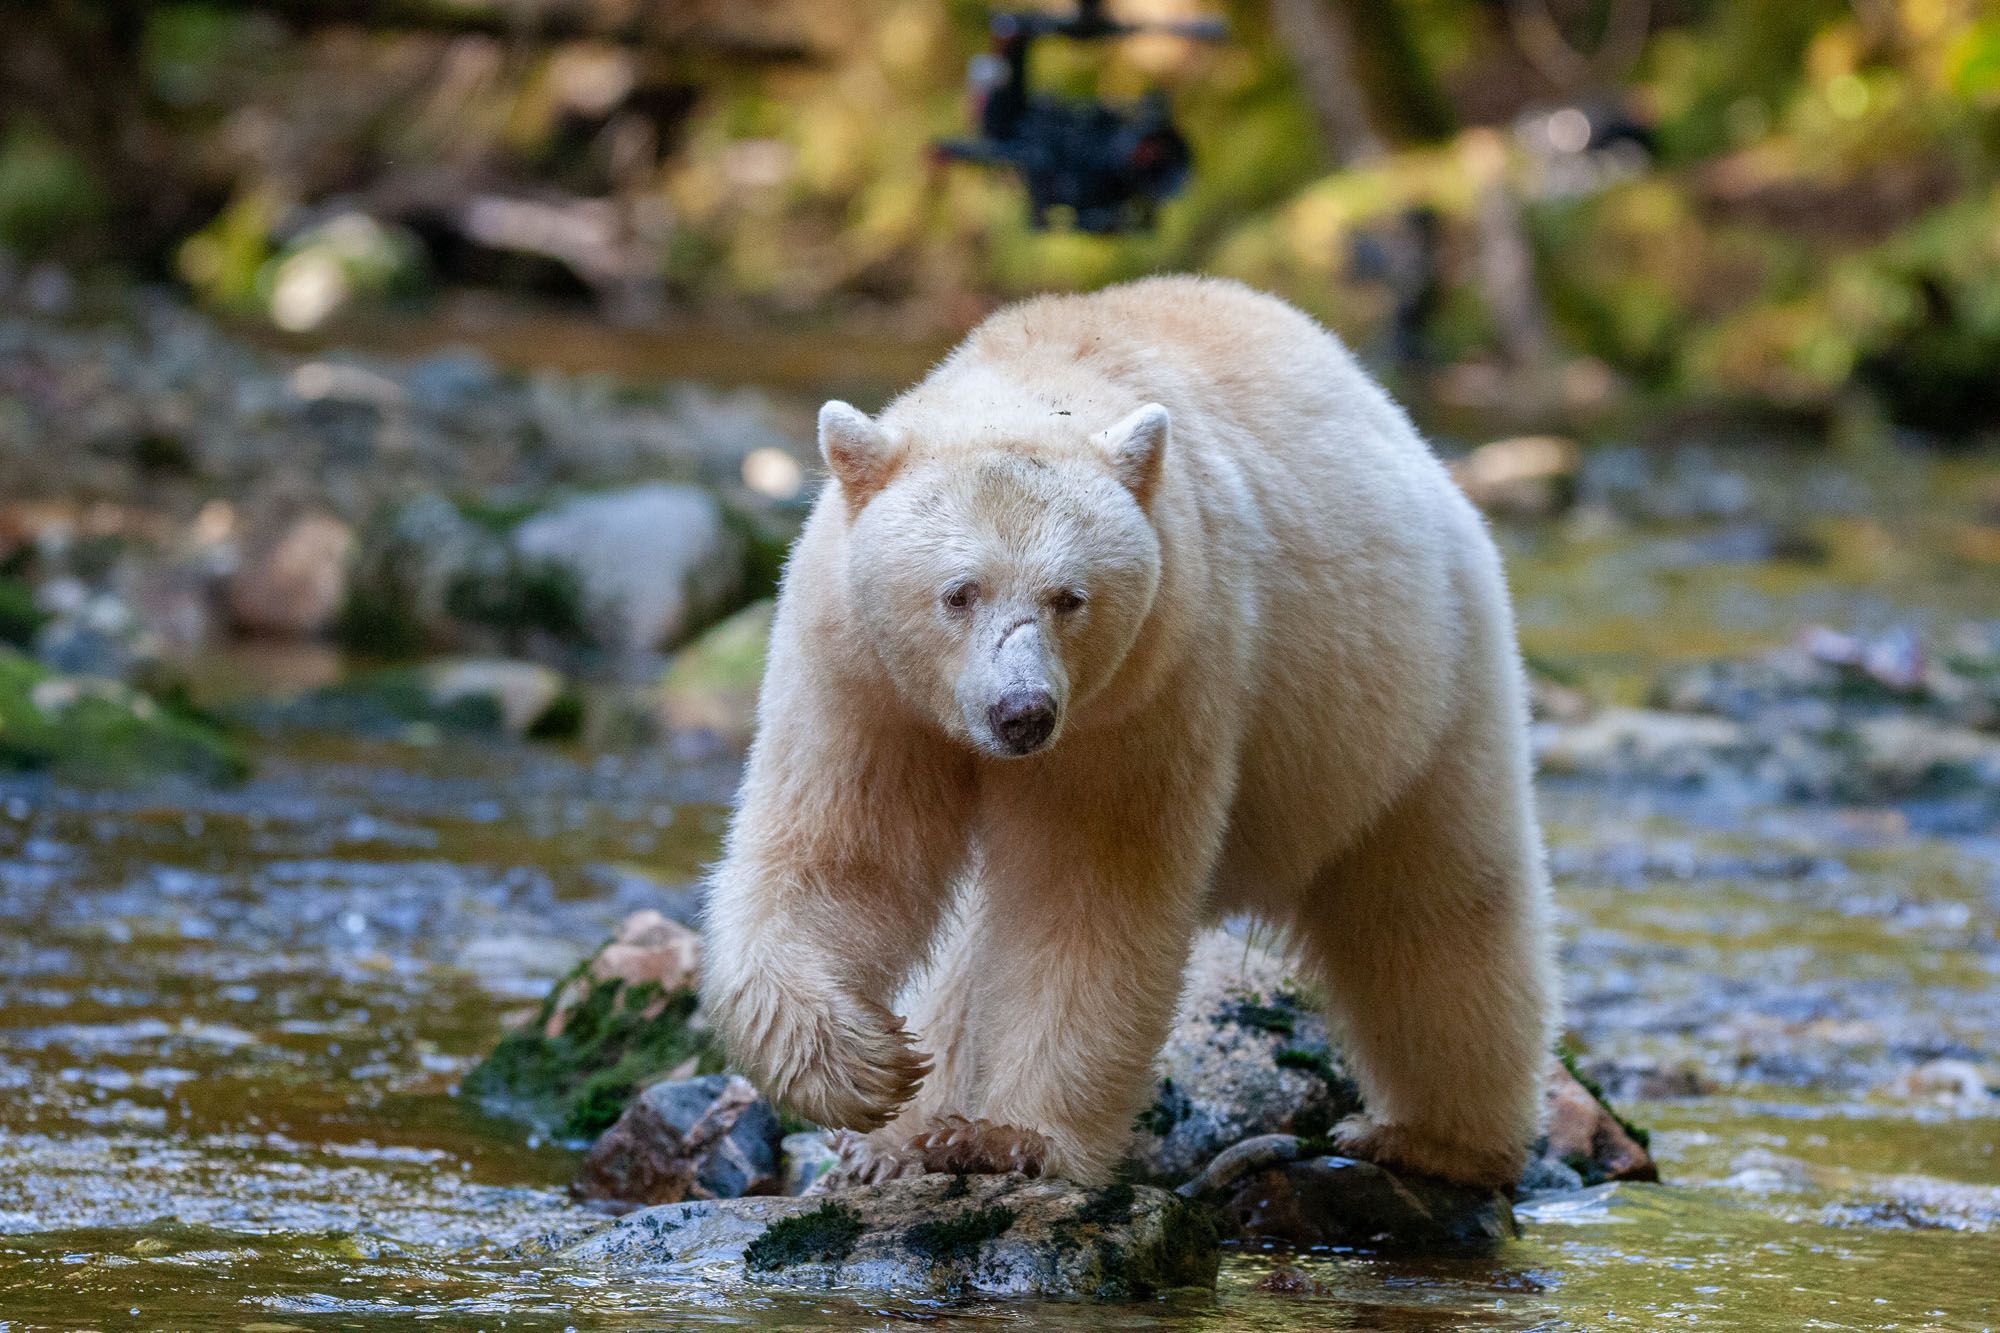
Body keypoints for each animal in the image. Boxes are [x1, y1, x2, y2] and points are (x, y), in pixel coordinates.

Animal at [700, 275, 1555, 1190]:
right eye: (959, 591)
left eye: (1069, 596)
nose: (1022, 711)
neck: (1040, 372)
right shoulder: (862, 680)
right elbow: (844, 852)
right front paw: (869, 1073)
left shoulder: (1148, 691)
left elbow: (1088, 892)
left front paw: (1014, 1137)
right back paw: (900, 1143)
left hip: (1417, 698)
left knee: (1437, 906)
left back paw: (1435, 1137)